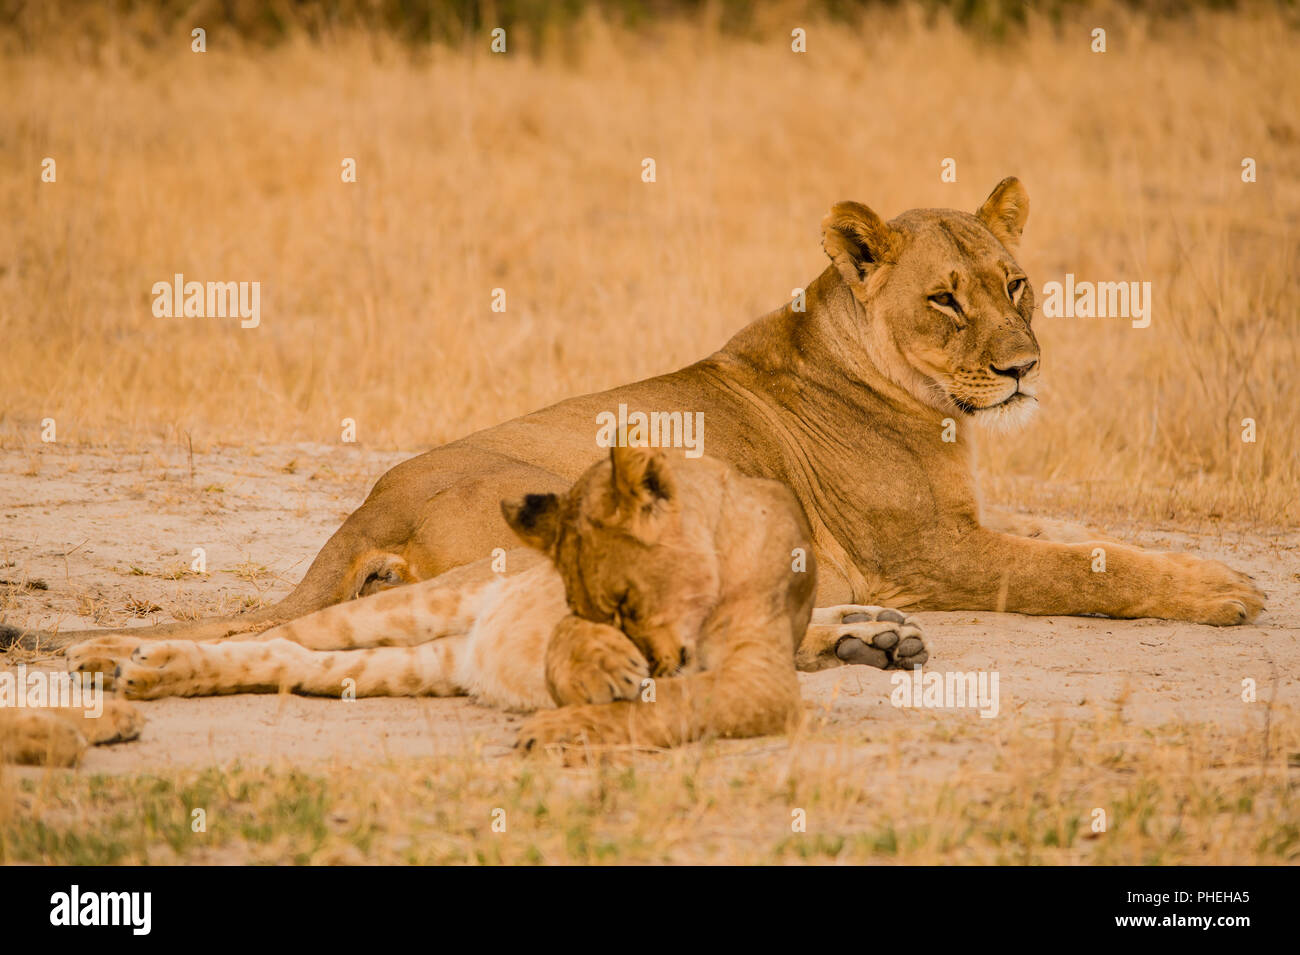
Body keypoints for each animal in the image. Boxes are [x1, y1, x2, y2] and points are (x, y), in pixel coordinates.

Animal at [1, 176, 1263, 657]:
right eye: (943, 299)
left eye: (1015, 283)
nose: (1022, 368)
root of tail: (364, 513)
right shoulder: (932, 551)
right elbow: (1089, 564)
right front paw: (1225, 594)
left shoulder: (948, 537)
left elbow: (1089, 543)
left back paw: (865, 634)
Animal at [51, 447, 928, 756]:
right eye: (588, 596)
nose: (646, 653)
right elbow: (598, 667)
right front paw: (593, 685)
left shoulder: (756, 682)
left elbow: (677, 704)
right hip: (396, 611)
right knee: (277, 630)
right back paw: (111, 655)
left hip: (398, 665)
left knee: (279, 654)